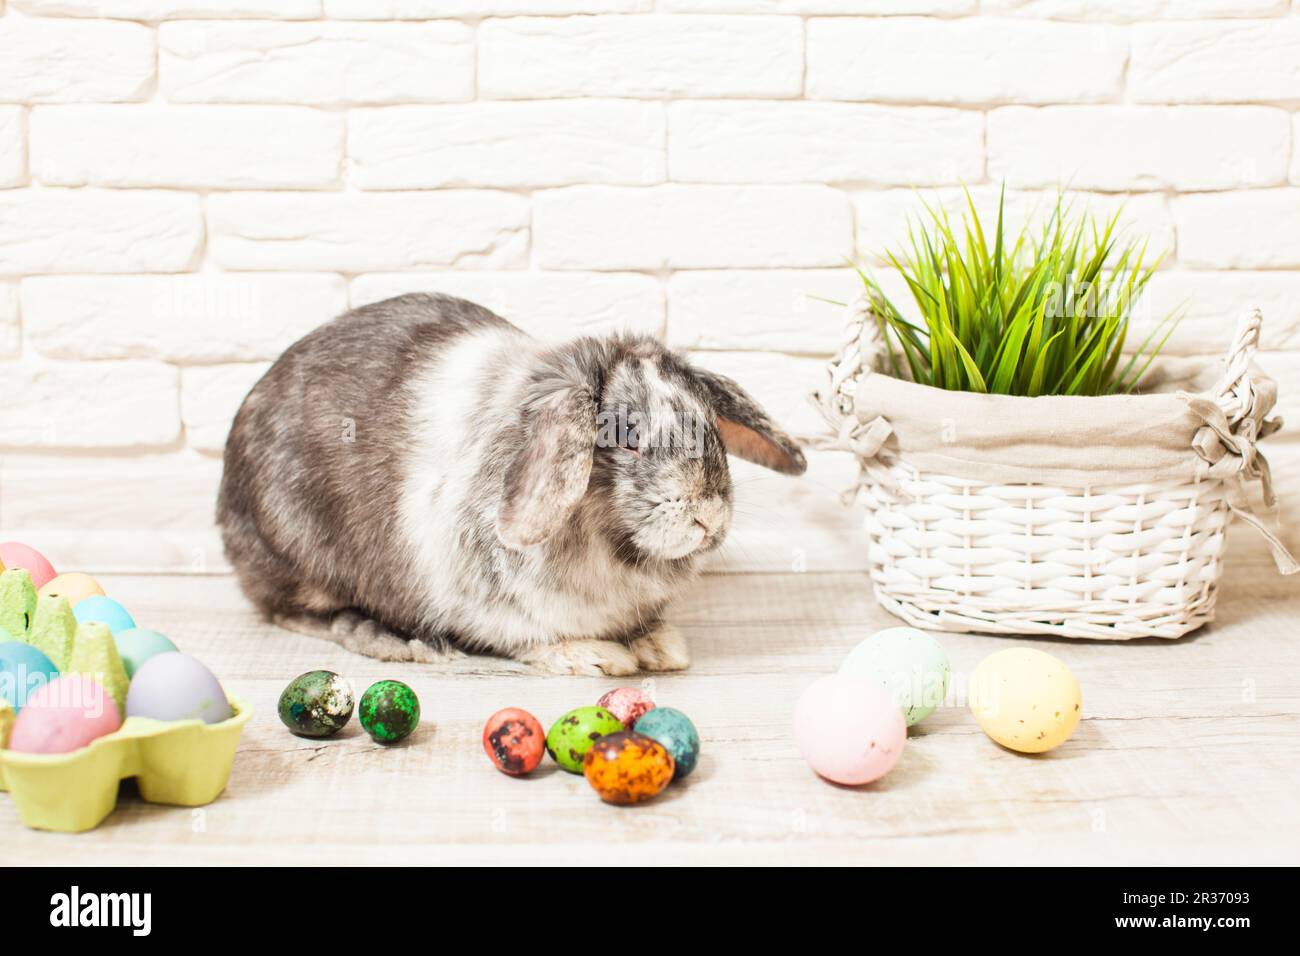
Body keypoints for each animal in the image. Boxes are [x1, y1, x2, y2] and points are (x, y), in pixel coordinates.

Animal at [217, 293, 806, 676]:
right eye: (629, 438)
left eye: (711, 425)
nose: (708, 514)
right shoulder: (492, 608)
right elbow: (528, 641)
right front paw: (598, 656)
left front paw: (661, 646)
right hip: (295, 547)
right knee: (294, 611)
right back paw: (392, 640)